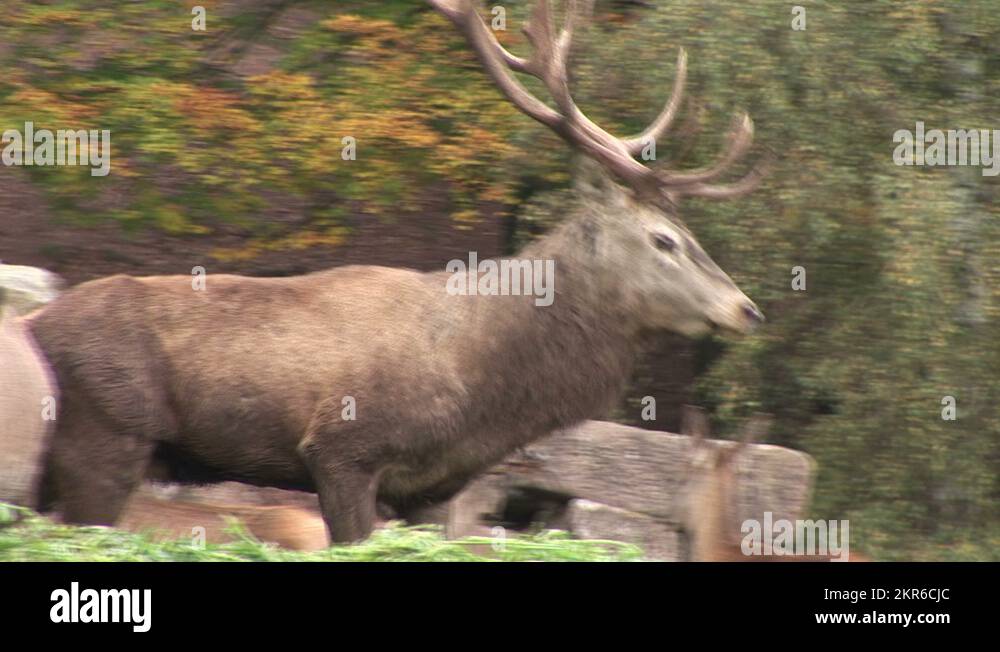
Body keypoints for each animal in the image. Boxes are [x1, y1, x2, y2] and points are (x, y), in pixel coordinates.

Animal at [7, 0, 767, 544]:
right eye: (665, 240)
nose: (747, 309)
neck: (478, 385)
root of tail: (35, 324)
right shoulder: (341, 451)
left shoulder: (433, 489)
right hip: (104, 436)